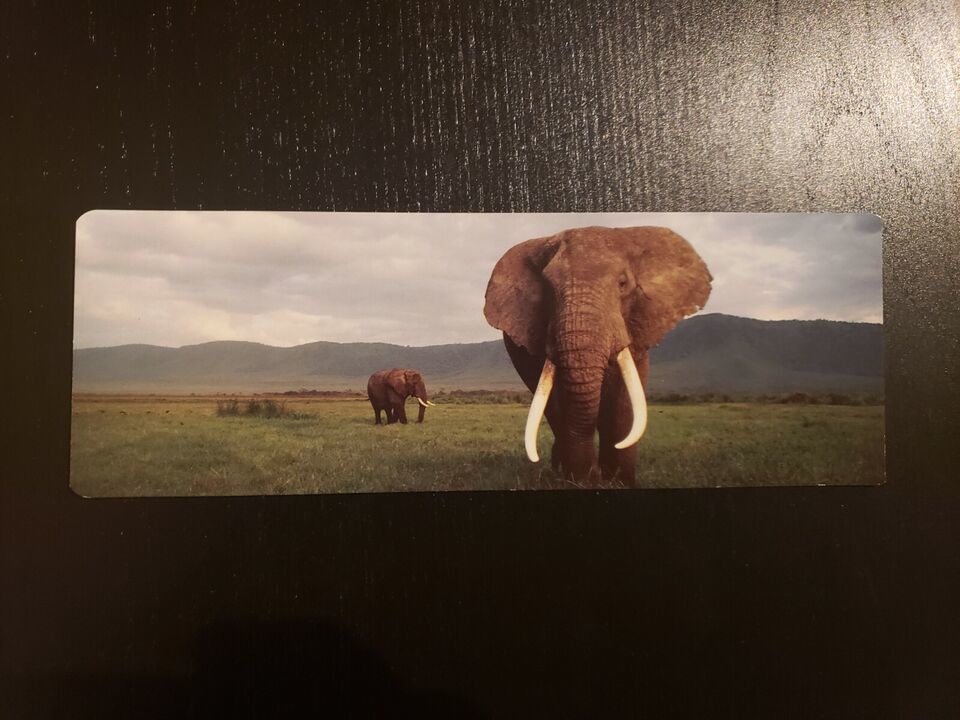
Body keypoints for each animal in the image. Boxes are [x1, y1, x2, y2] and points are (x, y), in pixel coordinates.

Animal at [484, 225, 711, 486]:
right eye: (548, 290)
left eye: (623, 284)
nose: (592, 475)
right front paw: (582, 479)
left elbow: (624, 401)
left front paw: (621, 482)